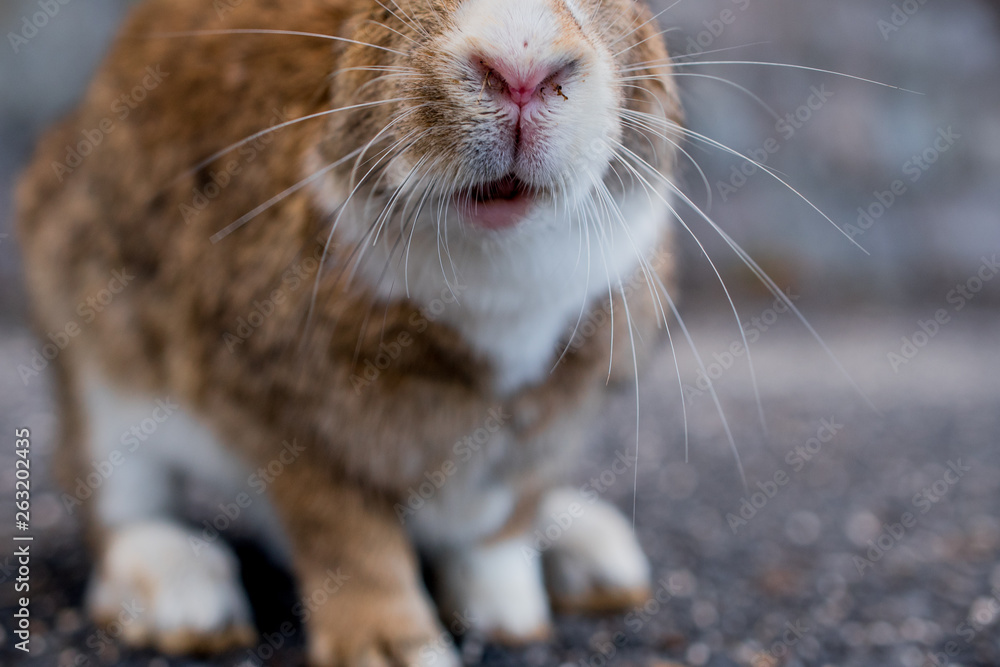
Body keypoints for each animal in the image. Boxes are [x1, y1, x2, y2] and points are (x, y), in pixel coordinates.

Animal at [16, 0, 682, 664]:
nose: (521, 69)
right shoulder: (287, 416)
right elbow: (348, 538)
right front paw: (396, 650)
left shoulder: (554, 422)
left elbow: (503, 525)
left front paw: (508, 618)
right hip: (97, 357)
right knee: (115, 495)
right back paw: (184, 594)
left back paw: (594, 557)